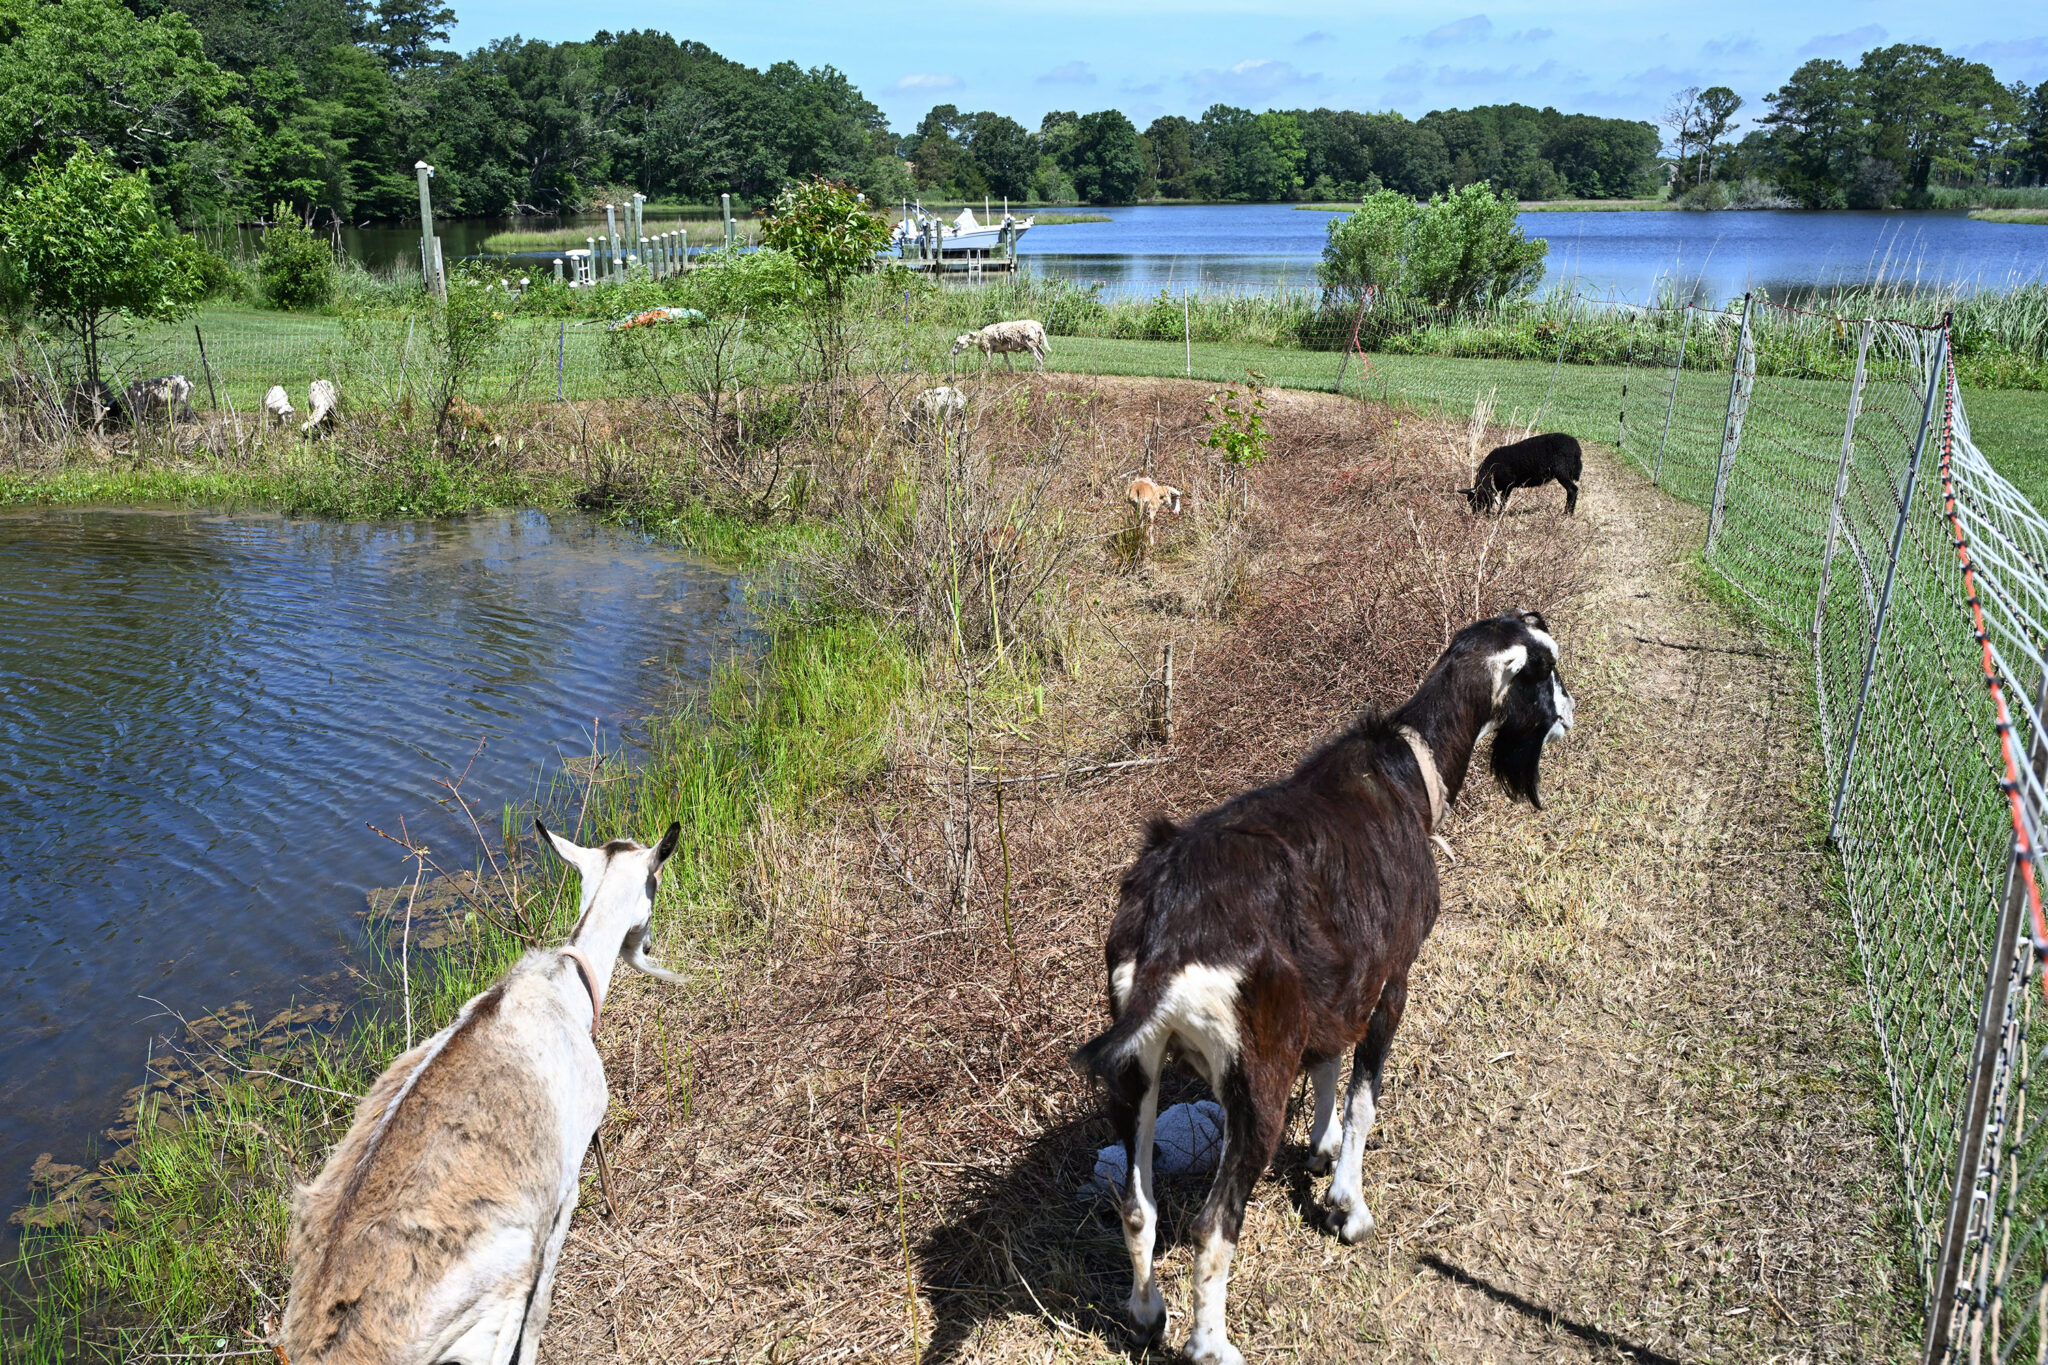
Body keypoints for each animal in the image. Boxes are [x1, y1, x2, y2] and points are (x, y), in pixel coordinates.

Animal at [282, 821, 689, 1365]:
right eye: (656, 881)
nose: (649, 944)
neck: (565, 986)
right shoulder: (563, 1192)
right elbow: (540, 1310)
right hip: (492, 1306)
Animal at [1074, 610, 1574, 1365]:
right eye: (1546, 667)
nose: (1570, 715)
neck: (1406, 774)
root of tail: (1167, 931)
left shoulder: (1341, 979)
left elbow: (1331, 1063)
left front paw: (1321, 1144)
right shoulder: (1393, 977)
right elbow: (1366, 1096)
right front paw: (1348, 1205)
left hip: (1137, 1068)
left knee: (1138, 1207)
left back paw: (1146, 1312)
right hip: (1256, 1075)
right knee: (1213, 1223)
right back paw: (1210, 1344)